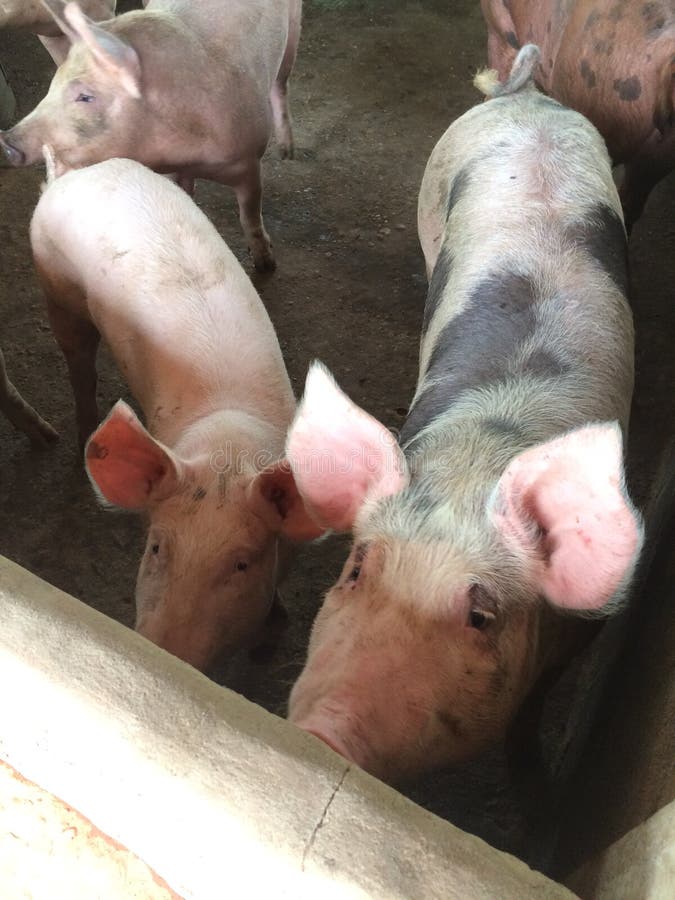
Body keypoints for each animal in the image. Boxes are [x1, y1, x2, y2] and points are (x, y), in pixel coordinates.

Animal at [2, 0, 302, 271]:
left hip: (293, 30)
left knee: (282, 83)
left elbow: (249, 213)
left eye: (85, 96)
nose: (6, 140)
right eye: (52, 85)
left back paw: (287, 153)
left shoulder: (249, 158)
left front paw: (266, 264)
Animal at [29, 156, 317, 670]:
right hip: (55, 287)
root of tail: (75, 173)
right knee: (80, 367)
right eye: (157, 547)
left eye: (241, 563)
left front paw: (276, 626)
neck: (227, 445)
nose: (166, 654)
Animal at [280, 45, 644, 783]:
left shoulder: (578, 632)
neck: (476, 463)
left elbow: (530, 713)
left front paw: (531, 779)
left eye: (480, 615)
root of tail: (525, 96)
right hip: (432, 185)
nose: (322, 735)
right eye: (355, 569)